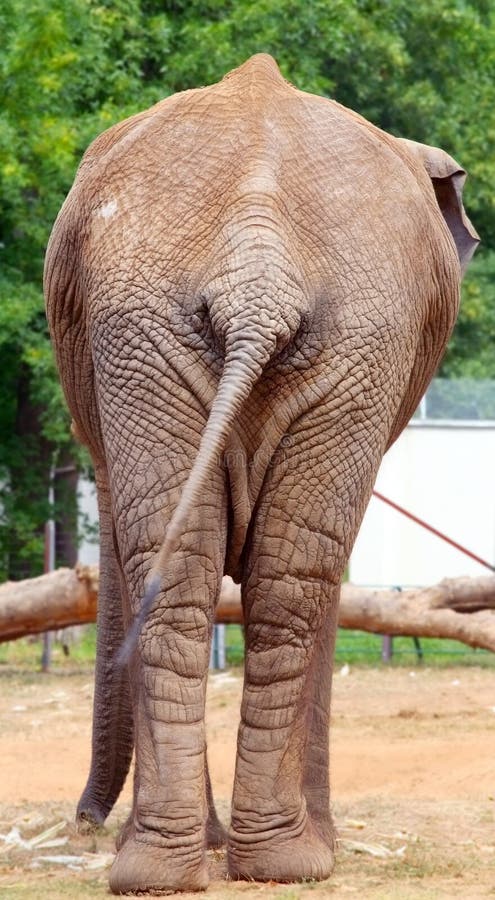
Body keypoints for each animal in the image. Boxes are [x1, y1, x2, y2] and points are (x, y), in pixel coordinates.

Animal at [44, 54, 478, 894]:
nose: (83, 823)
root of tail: (258, 264)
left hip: (290, 338)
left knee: (242, 573)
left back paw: (203, 864)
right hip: (176, 333)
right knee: (277, 575)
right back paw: (262, 858)